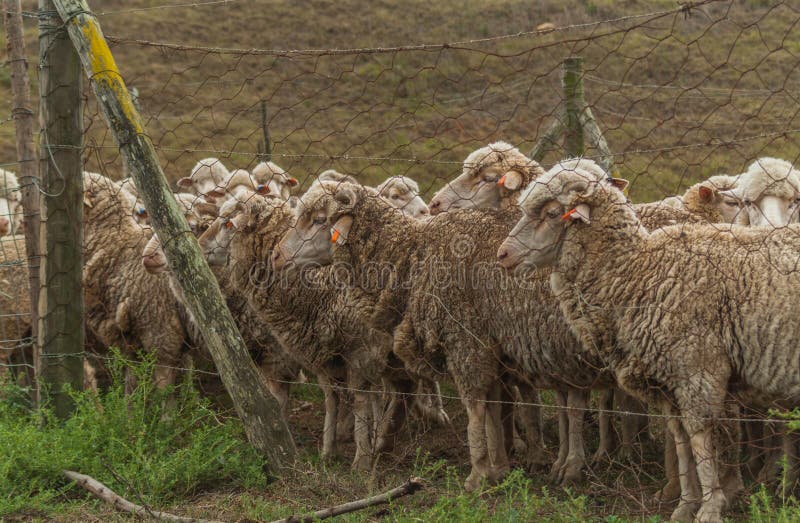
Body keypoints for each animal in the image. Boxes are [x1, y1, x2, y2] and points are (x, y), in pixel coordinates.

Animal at [273, 179, 615, 490]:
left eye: (319, 219)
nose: (277, 255)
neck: (410, 252)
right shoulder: (486, 347)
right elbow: (492, 408)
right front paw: (499, 467)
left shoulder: (465, 341)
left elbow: (475, 407)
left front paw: (478, 473)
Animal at [497, 163, 800, 522]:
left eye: (553, 213)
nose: (502, 254)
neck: (636, 272)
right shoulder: (670, 382)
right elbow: (682, 441)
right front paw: (685, 505)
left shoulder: (698, 371)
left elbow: (701, 441)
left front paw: (710, 507)